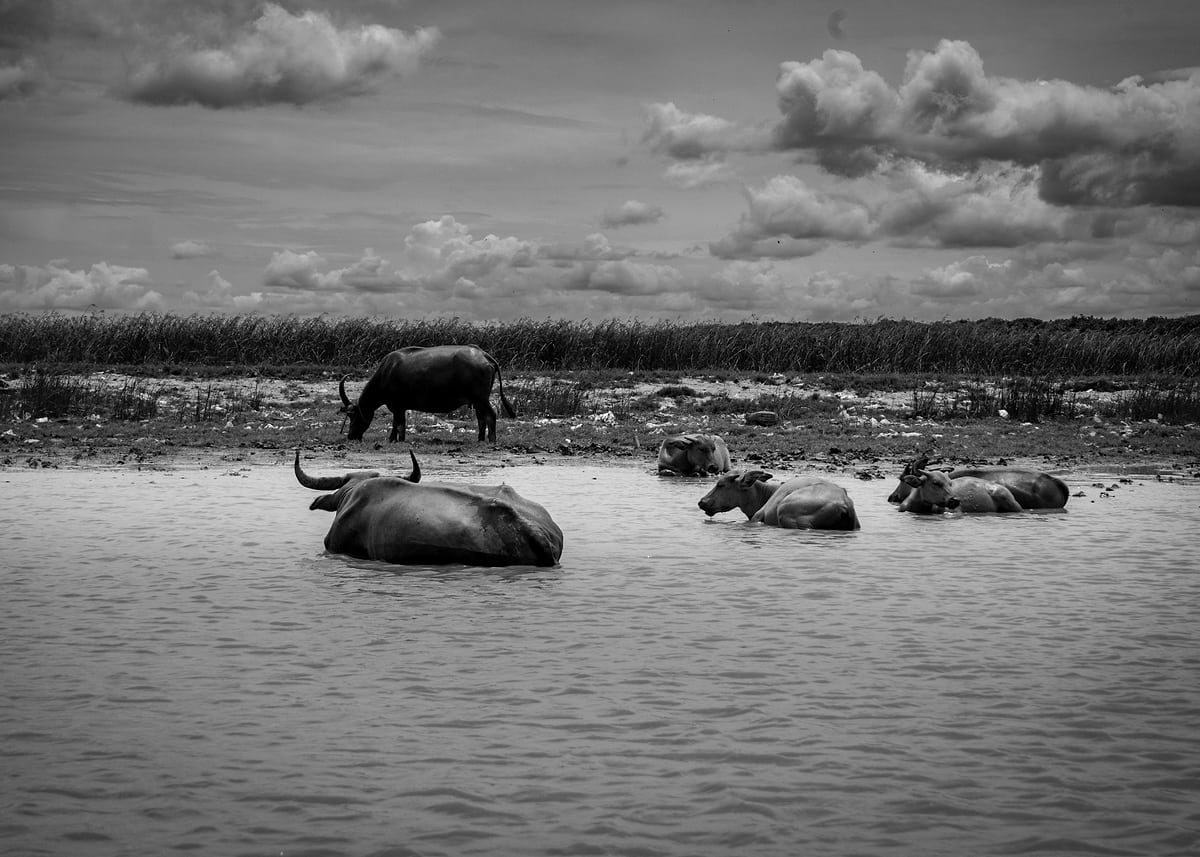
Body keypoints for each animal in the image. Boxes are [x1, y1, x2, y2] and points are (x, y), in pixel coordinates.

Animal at [339, 344, 515, 443]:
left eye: (352, 415)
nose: (351, 436)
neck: (385, 373)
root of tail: (484, 356)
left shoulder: (397, 407)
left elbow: (399, 425)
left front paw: (396, 440)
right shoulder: (399, 408)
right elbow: (398, 425)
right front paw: (395, 439)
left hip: (481, 399)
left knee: (490, 416)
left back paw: (491, 440)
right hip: (478, 401)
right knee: (481, 418)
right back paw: (480, 439)